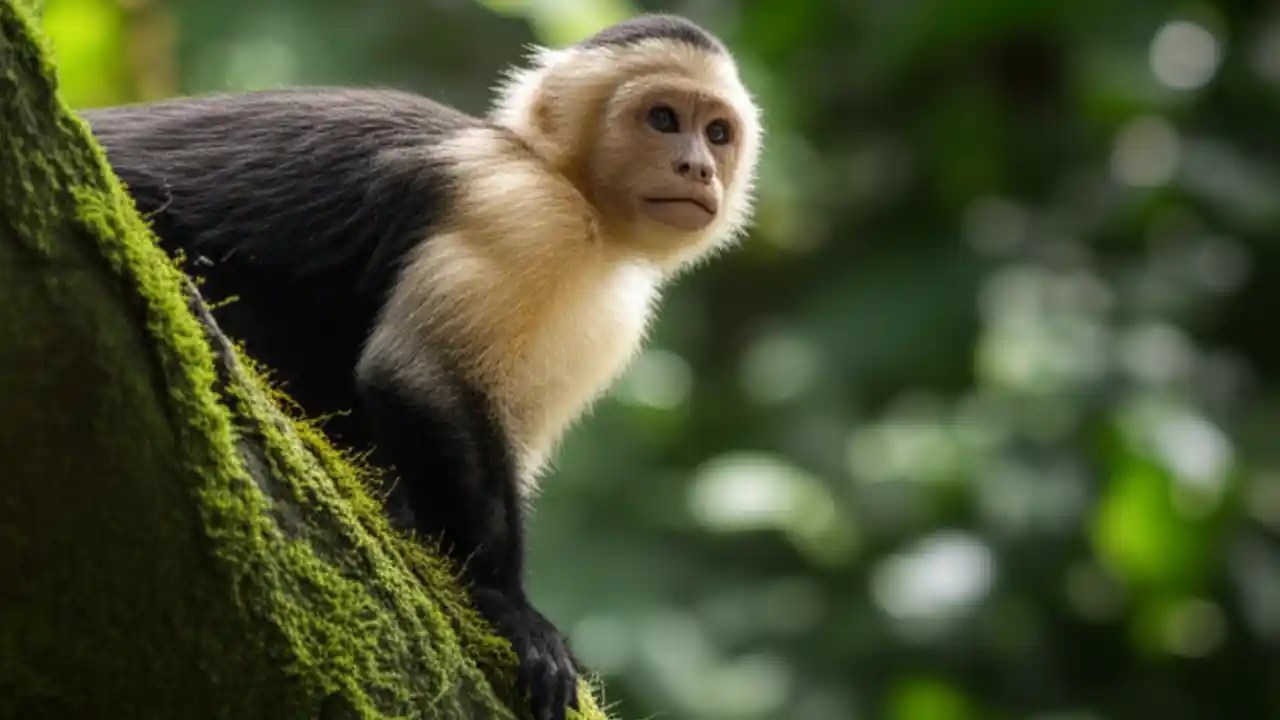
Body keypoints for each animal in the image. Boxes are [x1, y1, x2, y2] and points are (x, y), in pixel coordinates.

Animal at [82, 13, 762, 720]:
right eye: (662, 119)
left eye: (718, 133)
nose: (697, 166)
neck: (563, 181)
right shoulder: (522, 212)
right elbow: (415, 375)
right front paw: (507, 607)